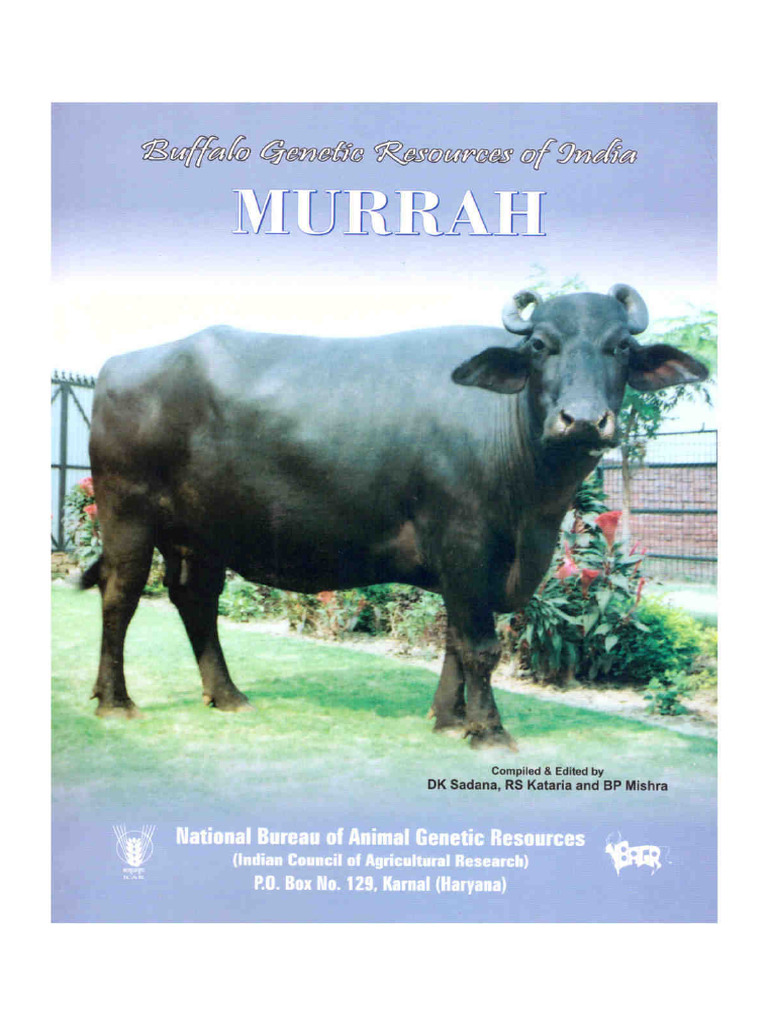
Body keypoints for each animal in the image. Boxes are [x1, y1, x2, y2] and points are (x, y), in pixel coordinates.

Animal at [81, 285, 707, 747]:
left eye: (620, 346)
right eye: (540, 346)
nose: (581, 420)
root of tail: (118, 366)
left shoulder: (473, 564)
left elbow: (456, 639)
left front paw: (449, 719)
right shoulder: (464, 542)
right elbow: (481, 644)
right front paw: (489, 731)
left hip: (202, 532)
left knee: (196, 600)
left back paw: (228, 695)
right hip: (127, 512)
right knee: (121, 596)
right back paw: (115, 701)